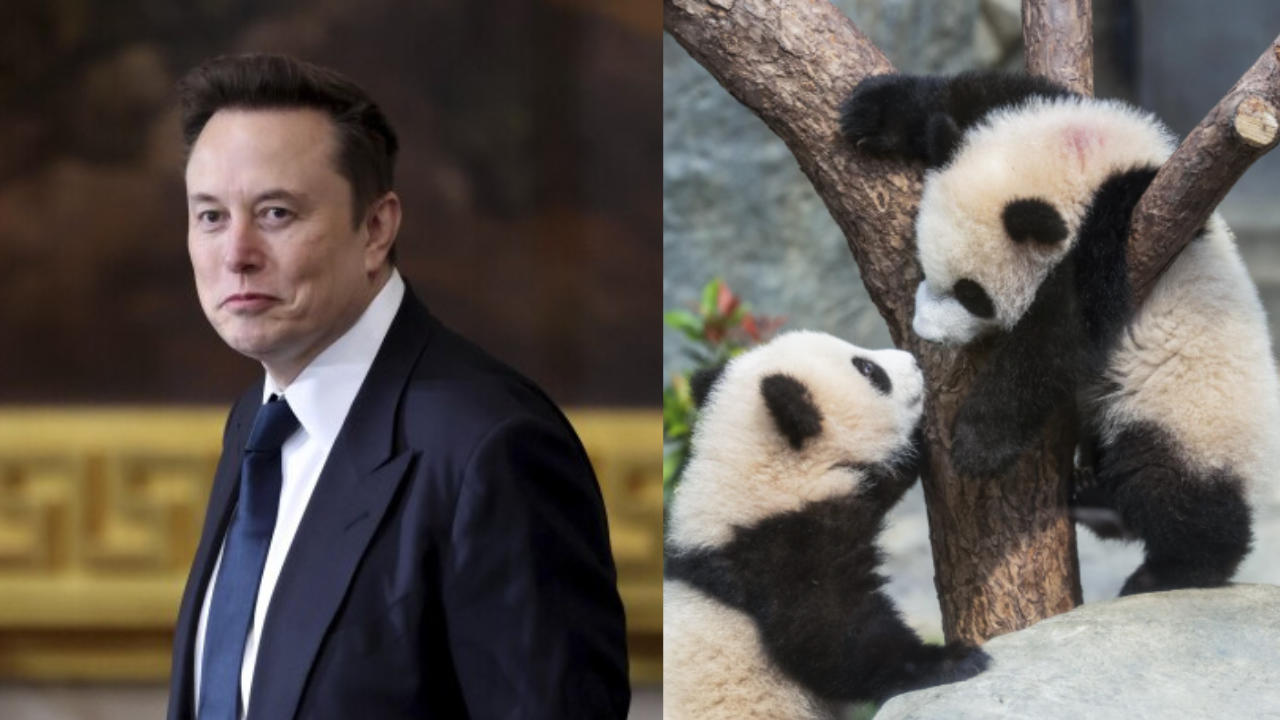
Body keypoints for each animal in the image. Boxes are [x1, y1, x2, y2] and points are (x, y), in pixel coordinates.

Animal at [841, 70, 1280, 596]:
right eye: (927, 268)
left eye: (971, 295)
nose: (926, 331)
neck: (1089, 162)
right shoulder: (1060, 112)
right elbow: (977, 93)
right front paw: (873, 111)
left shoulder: (1128, 222)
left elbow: (1061, 334)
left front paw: (978, 441)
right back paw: (1094, 497)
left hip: (1191, 419)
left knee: (1174, 492)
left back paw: (1168, 571)